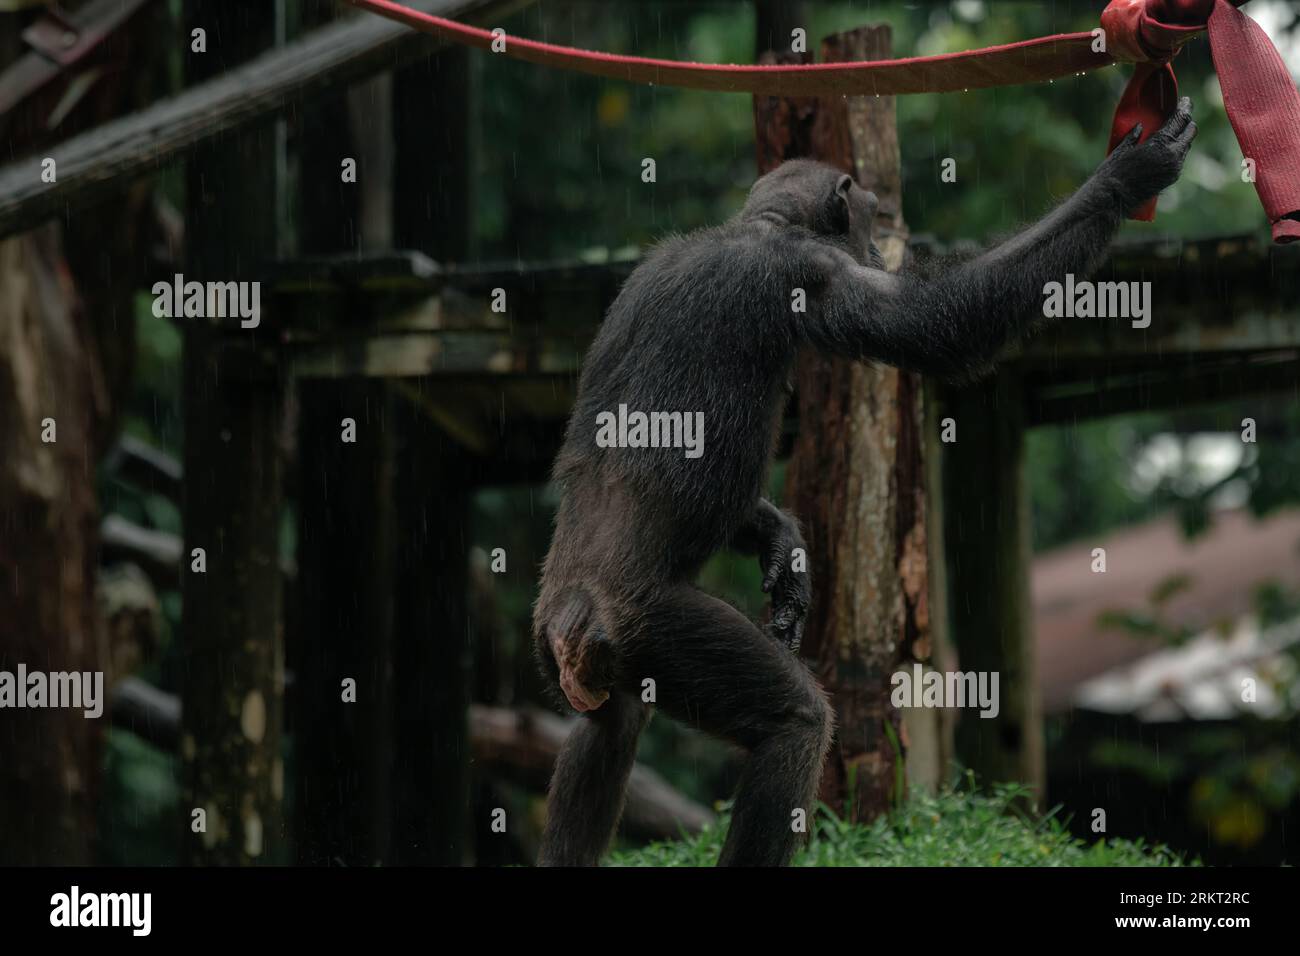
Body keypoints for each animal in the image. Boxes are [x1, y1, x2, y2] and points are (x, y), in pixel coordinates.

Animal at [532, 98, 1196, 867]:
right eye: (870, 220)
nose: (879, 245)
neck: (757, 227)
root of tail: (566, 617)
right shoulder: (812, 273)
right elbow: (927, 321)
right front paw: (1124, 177)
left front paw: (784, 547)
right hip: (652, 625)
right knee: (792, 722)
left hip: (596, 656)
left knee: (610, 726)